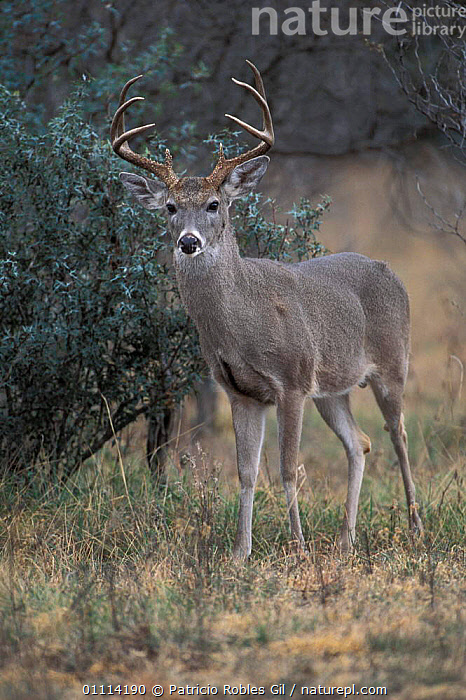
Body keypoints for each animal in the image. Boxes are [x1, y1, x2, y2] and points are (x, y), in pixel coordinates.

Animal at [111, 61, 423, 559]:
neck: (240, 325)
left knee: (399, 435)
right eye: (171, 207)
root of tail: (389, 270)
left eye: (215, 204)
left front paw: (298, 549)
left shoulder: (291, 383)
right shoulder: (240, 391)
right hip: (332, 388)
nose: (188, 241)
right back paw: (345, 541)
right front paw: (241, 552)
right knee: (360, 443)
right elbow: (246, 472)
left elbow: (287, 469)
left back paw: (414, 528)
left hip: (394, 363)